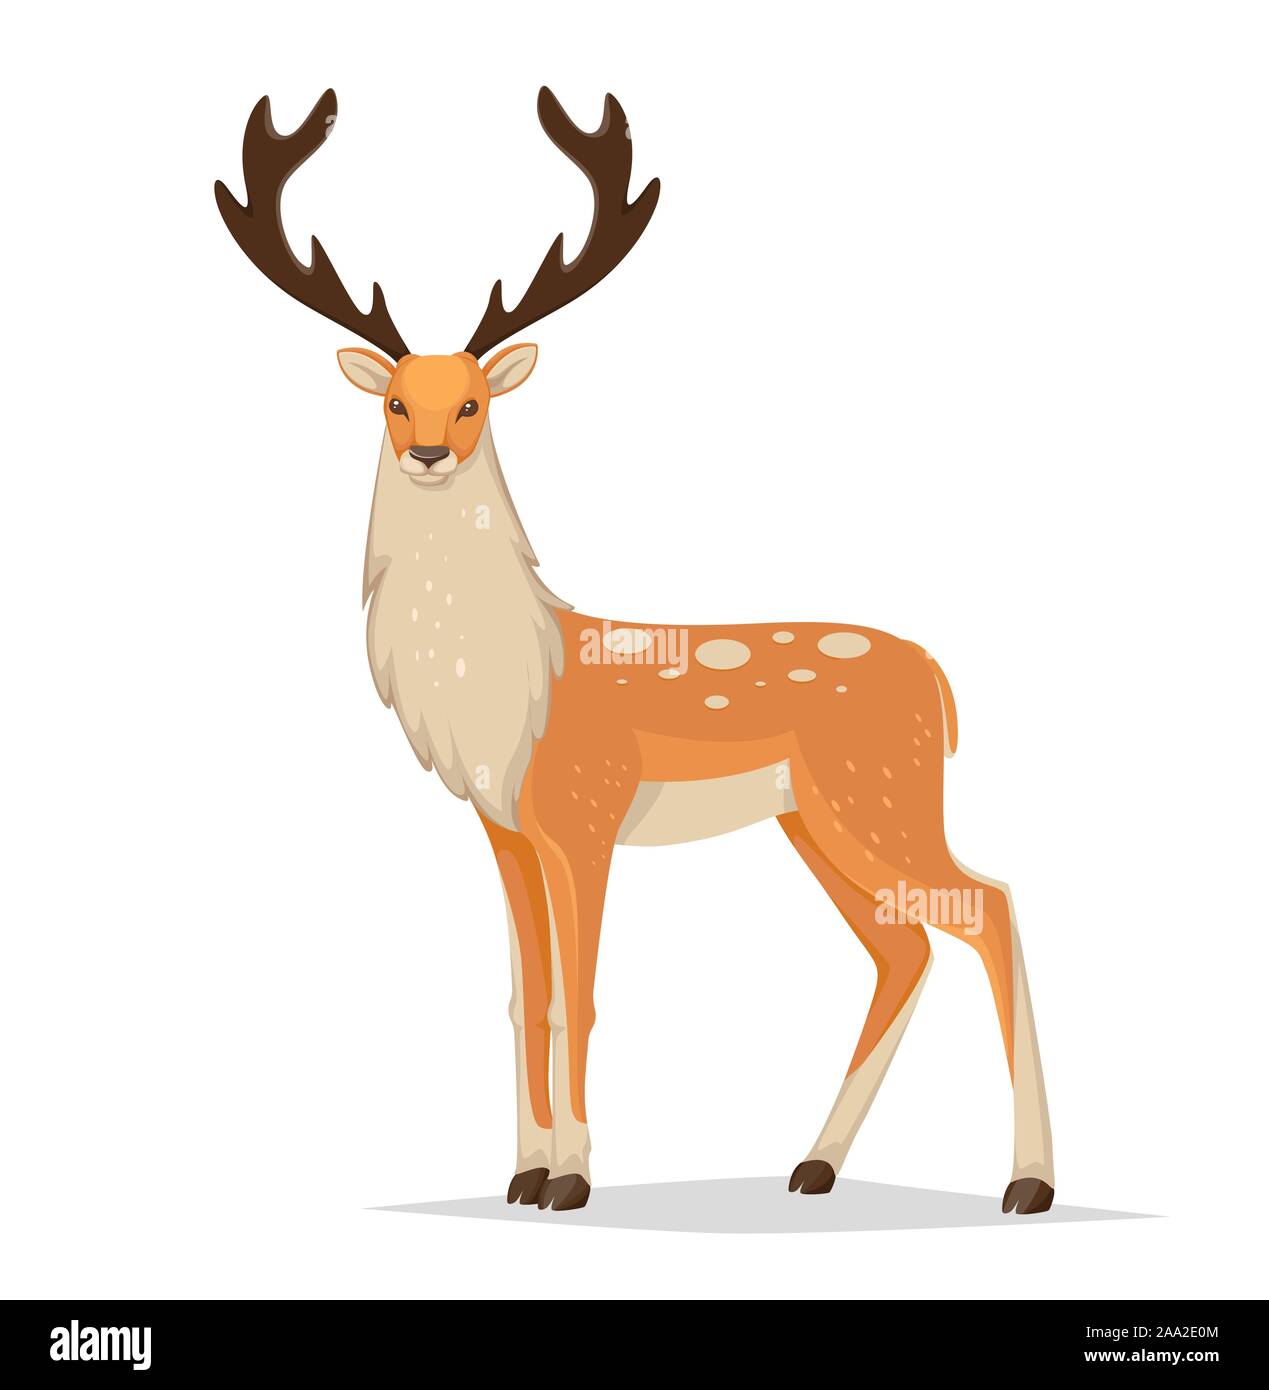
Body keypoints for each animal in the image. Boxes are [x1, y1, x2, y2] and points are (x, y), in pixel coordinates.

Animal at [215, 87, 1054, 1215]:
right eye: (394, 399)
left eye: (474, 399)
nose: (428, 449)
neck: (516, 690)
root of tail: (940, 682)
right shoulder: (505, 829)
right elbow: (522, 995)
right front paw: (521, 1174)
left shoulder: (583, 810)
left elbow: (580, 994)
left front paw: (571, 1179)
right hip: (816, 821)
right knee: (904, 945)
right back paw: (813, 1165)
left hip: (882, 794)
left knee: (991, 907)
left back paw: (1027, 1184)